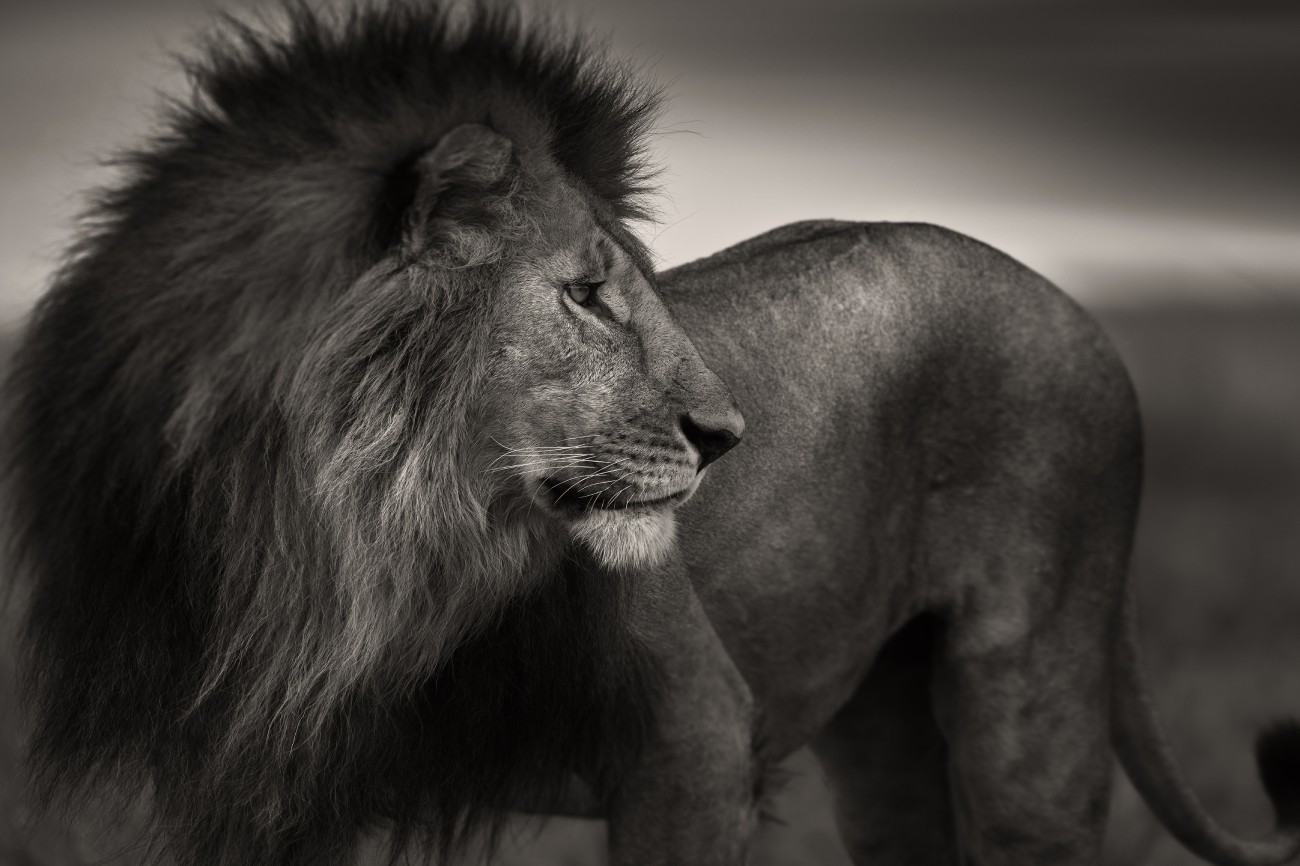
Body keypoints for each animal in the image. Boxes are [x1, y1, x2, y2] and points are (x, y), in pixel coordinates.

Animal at [3, 3, 1298, 865]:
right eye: (585, 294)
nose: (727, 435)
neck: (334, 546)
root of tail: (1064, 296)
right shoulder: (260, 791)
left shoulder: (694, 737)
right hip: (882, 724)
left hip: (1029, 700)